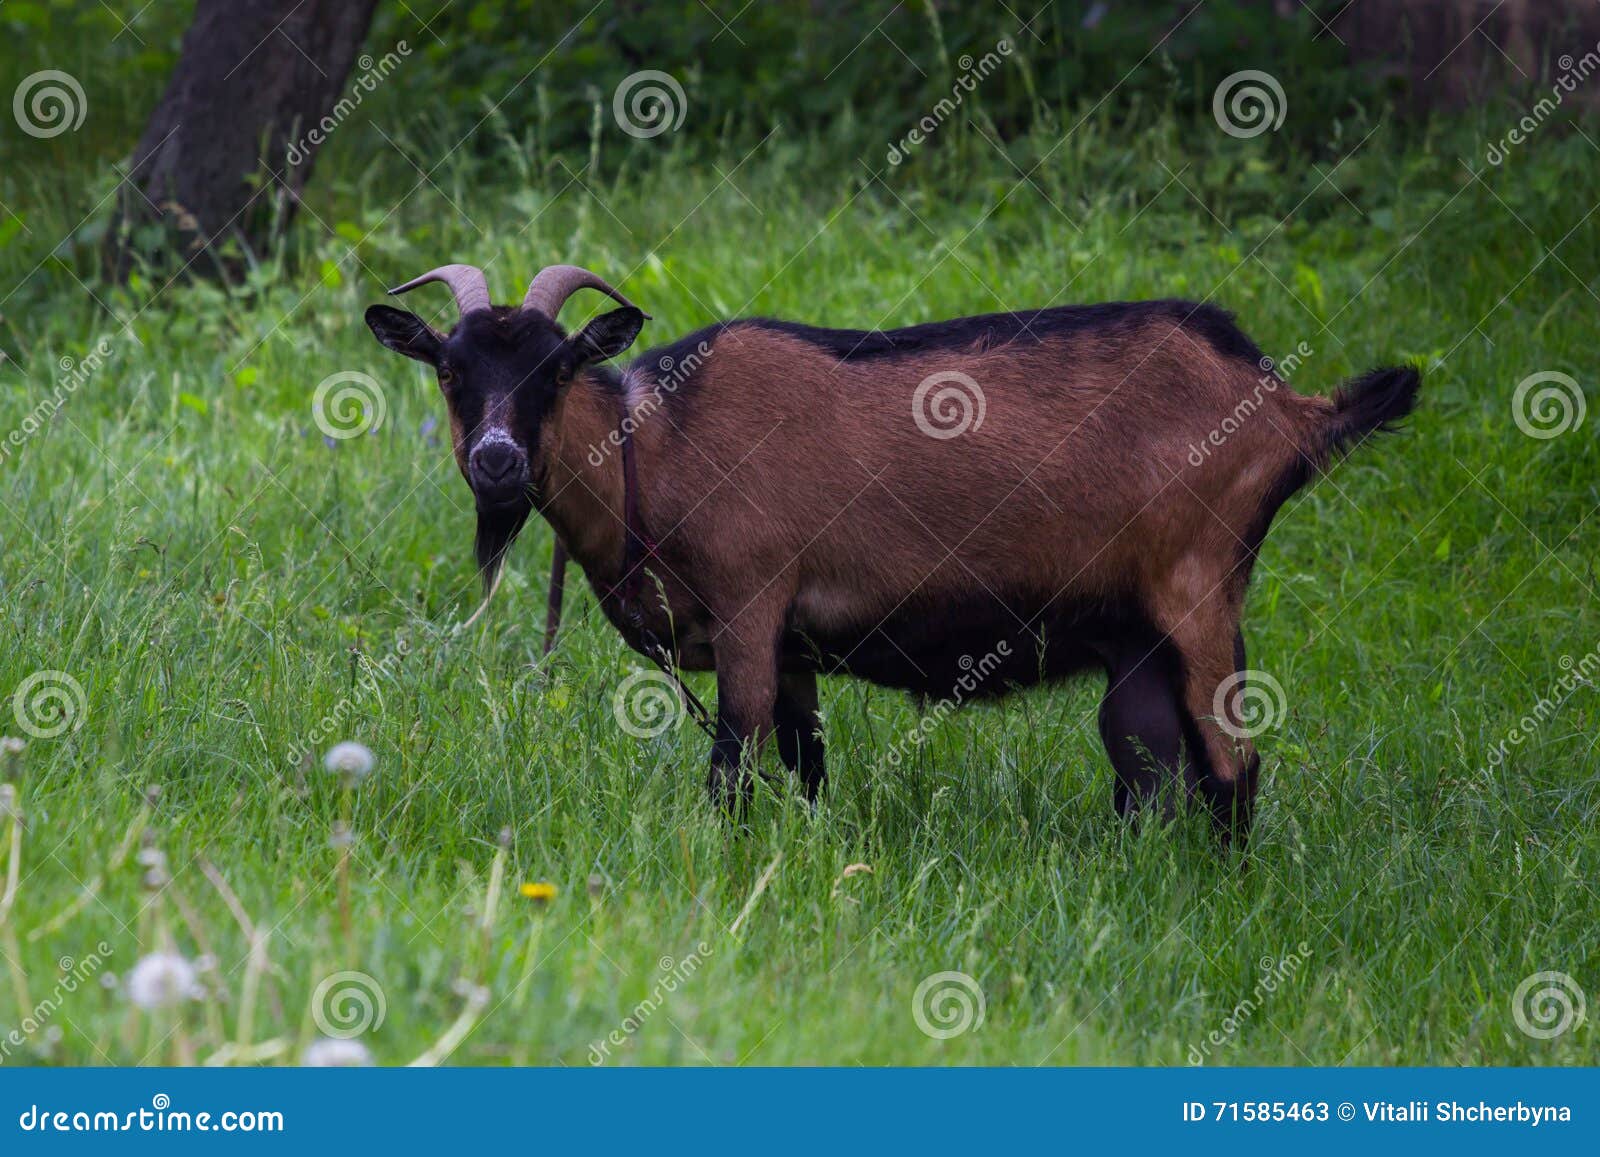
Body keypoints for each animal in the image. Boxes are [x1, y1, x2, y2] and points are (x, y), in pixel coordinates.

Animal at [365, 263, 1420, 842]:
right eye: (450, 369)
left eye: (554, 368)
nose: (498, 461)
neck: (648, 448)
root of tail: (1285, 405)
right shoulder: (791, 645)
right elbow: (807, 766)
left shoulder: (752, 605)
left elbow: (731, 766)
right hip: (1137, 641)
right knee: (1156, 773)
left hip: (1200, 590)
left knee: (1235, 770)